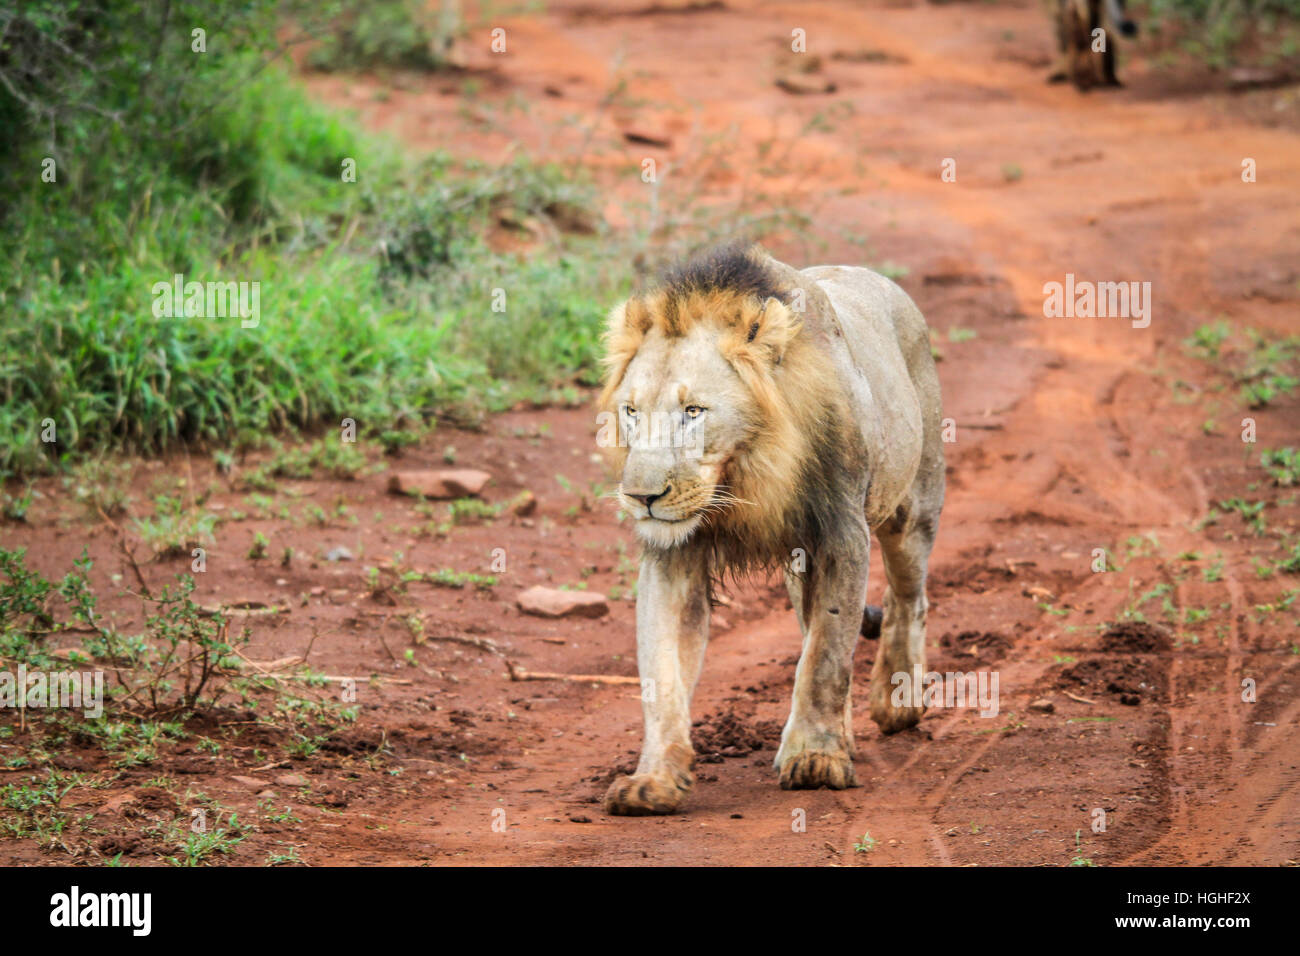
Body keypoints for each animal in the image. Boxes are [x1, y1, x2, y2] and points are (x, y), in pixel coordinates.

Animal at [596, 243, 945, 815]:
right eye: (630, 411)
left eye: (694, 411)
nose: (641, 497)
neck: (745, 476)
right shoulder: (674, 555)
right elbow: (663, 672)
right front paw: (654, 780)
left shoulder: (842, 534)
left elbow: (825, 656)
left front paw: (816, 759)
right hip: (799, 567)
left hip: (912, 508)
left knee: (907, 599)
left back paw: (897, 701)